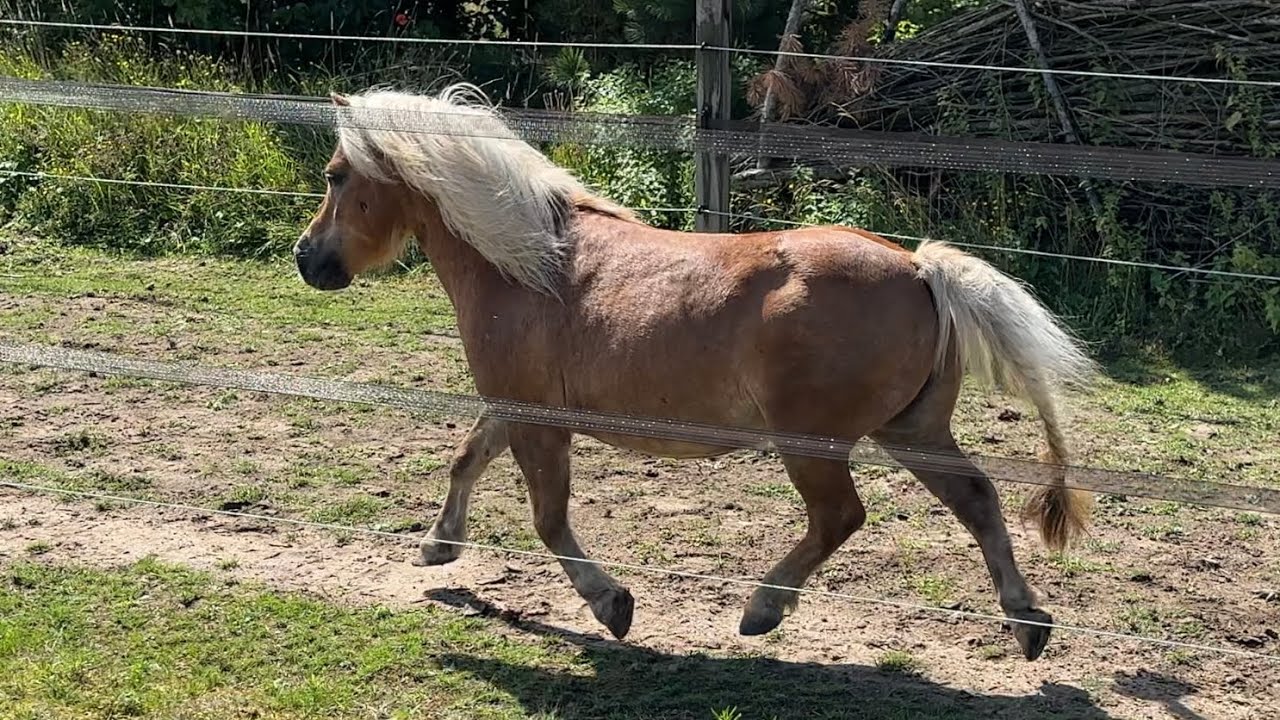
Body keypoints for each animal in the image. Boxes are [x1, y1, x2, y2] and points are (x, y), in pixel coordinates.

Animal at [291, 84, 1100, 661]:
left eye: (335, 176)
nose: (307, 259)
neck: (527, 266)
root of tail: (919, 267)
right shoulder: (515, 406)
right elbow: (467, 458)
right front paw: (439, 545)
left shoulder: (538, 423)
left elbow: (548, 520)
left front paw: (612, 606)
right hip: (912, 429)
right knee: (978, 499)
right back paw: (1027, 622)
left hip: (816, 444)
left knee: (841, 517)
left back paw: (762, 609)